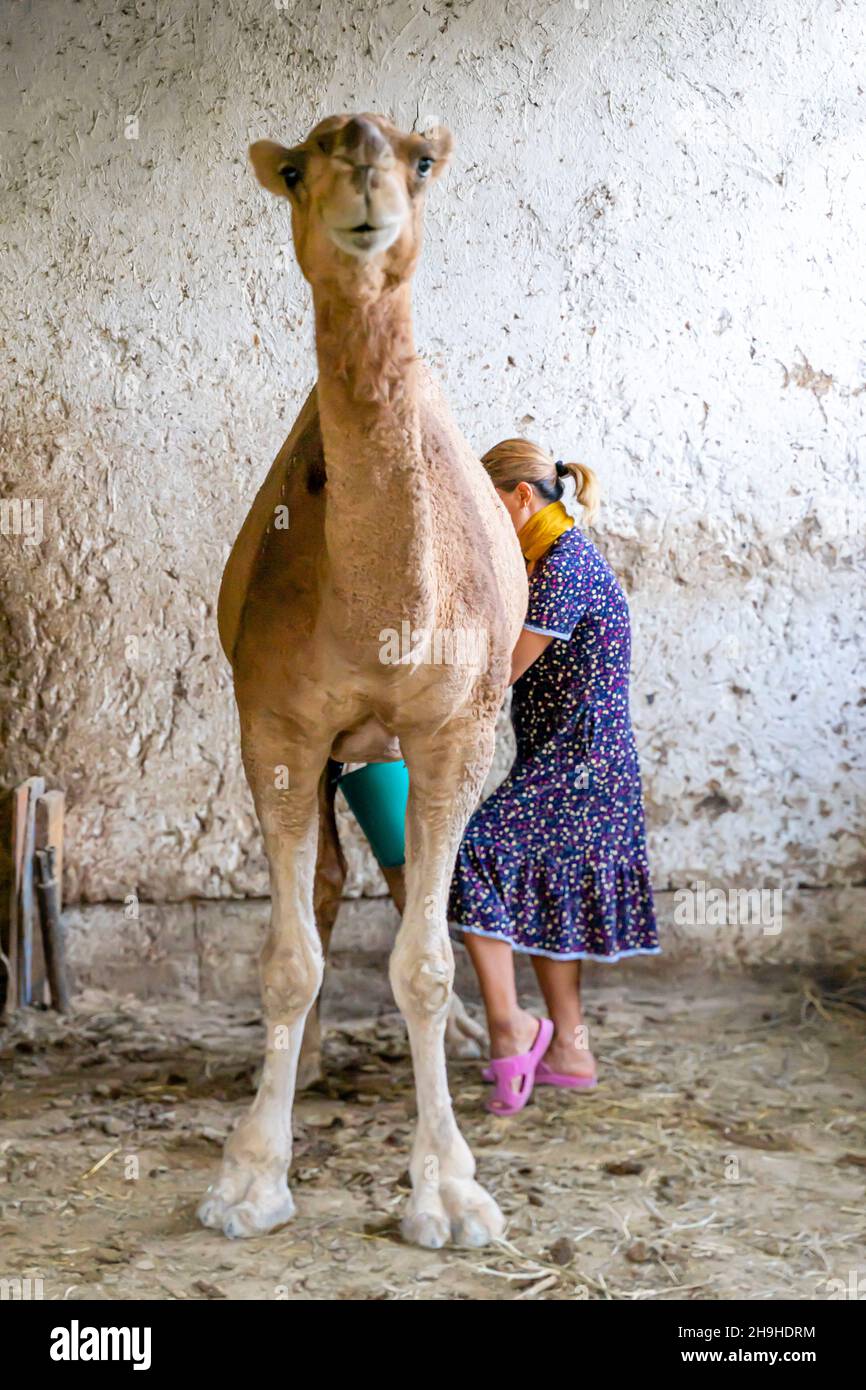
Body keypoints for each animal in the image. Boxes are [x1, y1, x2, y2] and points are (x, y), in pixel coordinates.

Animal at [200, 113, 526, 1249]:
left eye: (421, 162)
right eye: (297, 169)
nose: (365, 185)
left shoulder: (455, 731)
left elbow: (423, 960)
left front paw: (453, 1195)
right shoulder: (278, 727)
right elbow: (290, 954)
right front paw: (251, 1174)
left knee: (400, 889)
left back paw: (475, 1038)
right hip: (336, 750)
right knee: (335, 889)